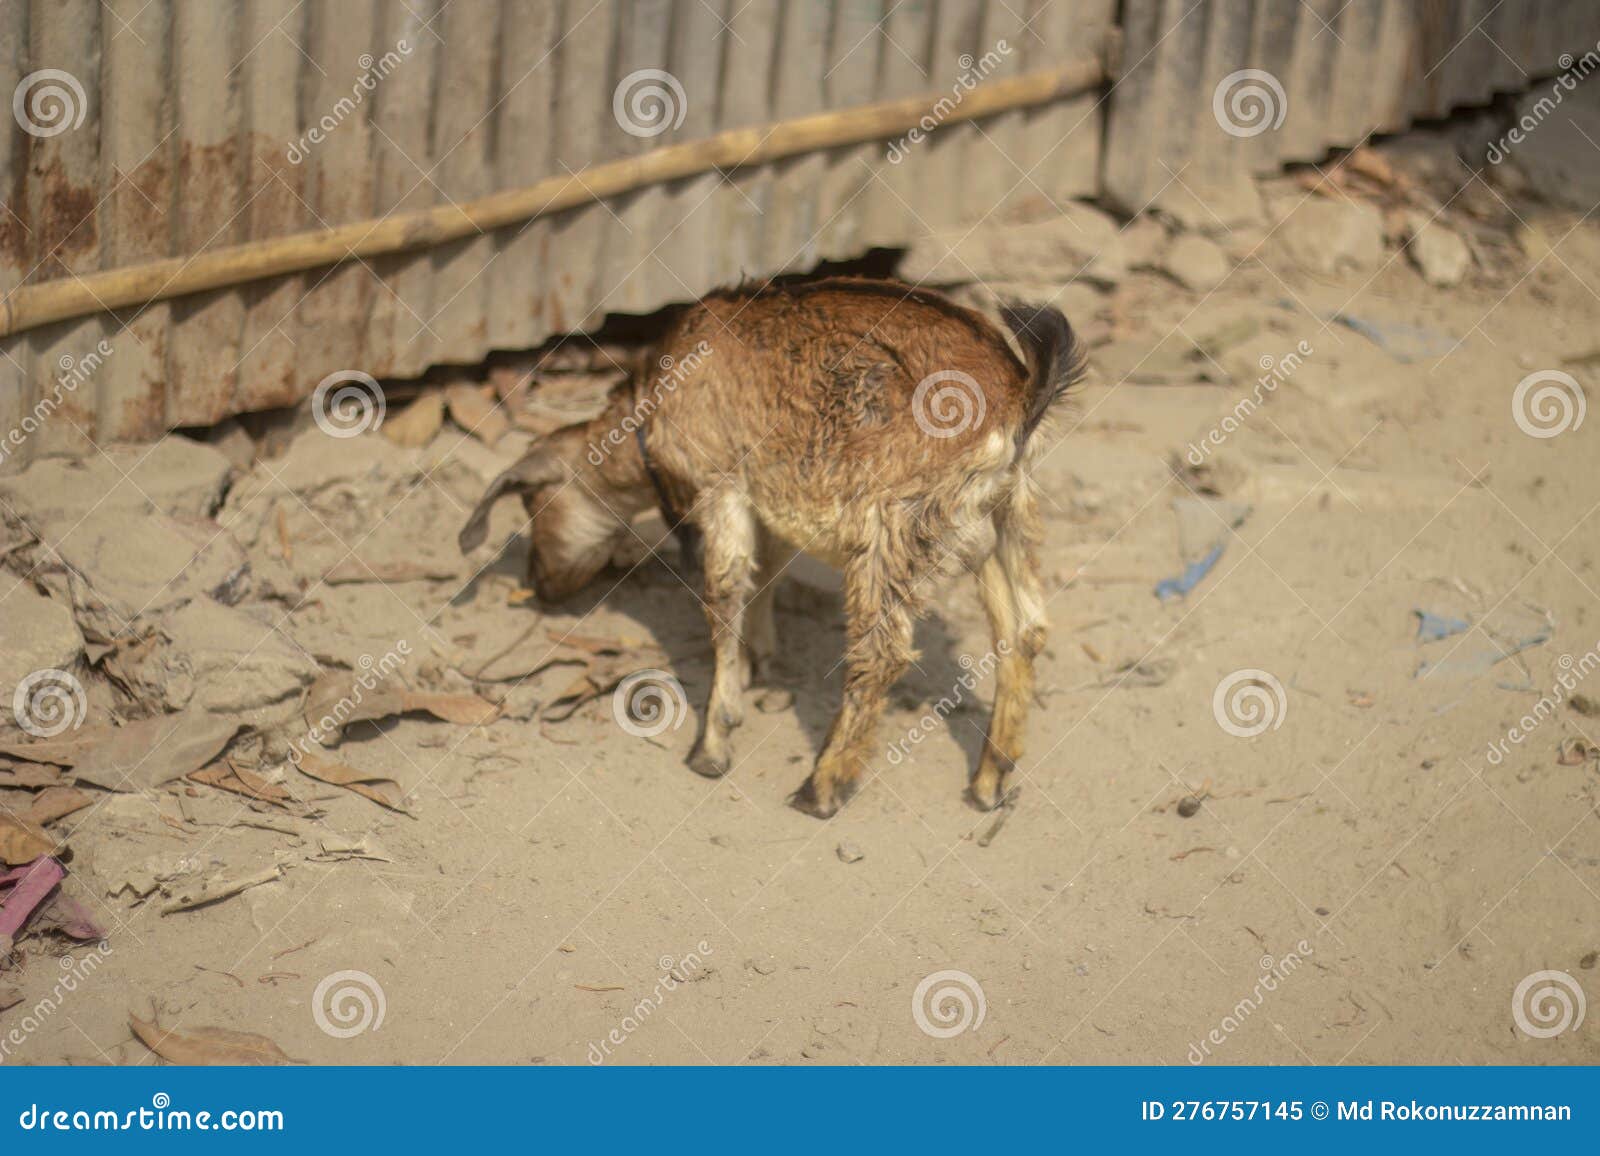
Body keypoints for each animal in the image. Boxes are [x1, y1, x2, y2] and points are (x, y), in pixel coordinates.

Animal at [459, 278, 1083, 818]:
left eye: (532, 505)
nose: (539, 583)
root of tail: (1022, 393)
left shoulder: (722, 485)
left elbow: (724, 591)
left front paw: (713, 742)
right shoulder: (774, 495)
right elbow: (767, 576)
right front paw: (755, 663)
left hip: (894, 520)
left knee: (882, 650)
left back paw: (822, 787)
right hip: (1005, 513)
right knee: (1024, 629)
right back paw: (988, 782)